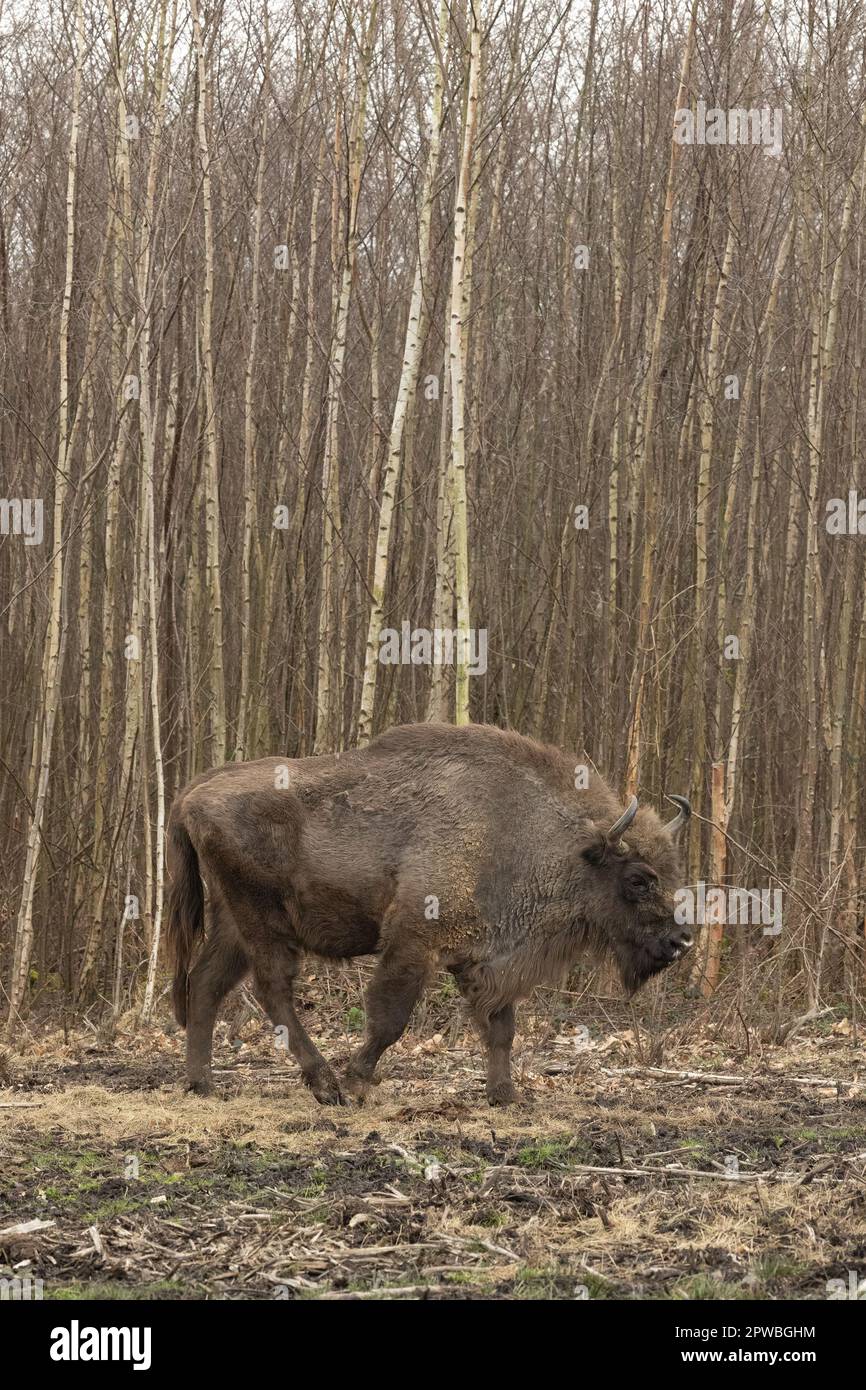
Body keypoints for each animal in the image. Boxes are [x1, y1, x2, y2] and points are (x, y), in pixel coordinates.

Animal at [165, 722, 692, 1106]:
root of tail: (195, 790)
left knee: (207, 982)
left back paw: (203, 1084)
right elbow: (390, 1019)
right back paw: (326, 1085)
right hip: (264, 922)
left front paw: (506, 1096)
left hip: (231, 923)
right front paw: (357, 1082)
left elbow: (501, 1028)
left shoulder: (484, 958)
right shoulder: (414, 941)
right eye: (639, 879)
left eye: (672, 870)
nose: (680, 941)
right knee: (272, 989)